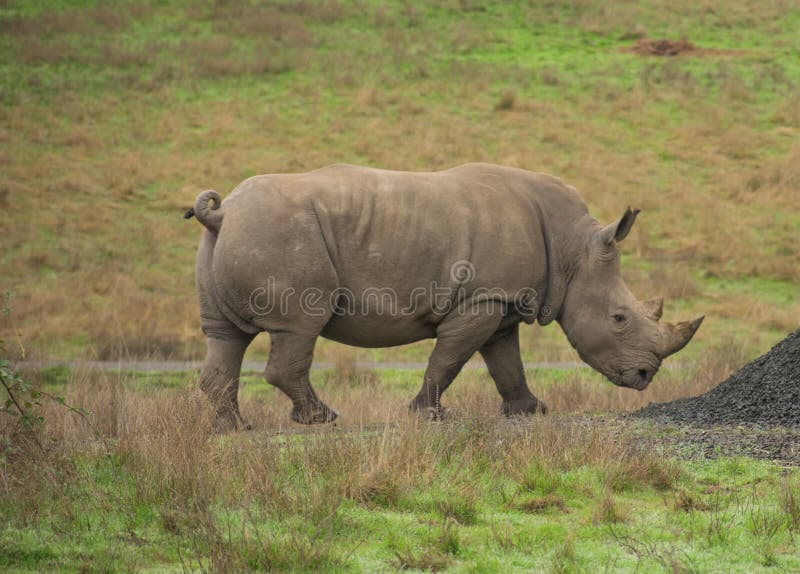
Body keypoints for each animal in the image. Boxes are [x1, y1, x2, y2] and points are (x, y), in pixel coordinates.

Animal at [187, 163, 703, 429]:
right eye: (619, 319)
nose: (645, 376)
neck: (571, 247)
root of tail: (222, 214)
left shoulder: (501, 300)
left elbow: (505, 361)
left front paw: (531, 411)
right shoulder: (480, 301)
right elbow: (451, 359)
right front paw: (428, 416)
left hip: (233, 238)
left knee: (225, 336)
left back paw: (233, 428)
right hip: (279, 235)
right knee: (298, 328)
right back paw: (323, 419)